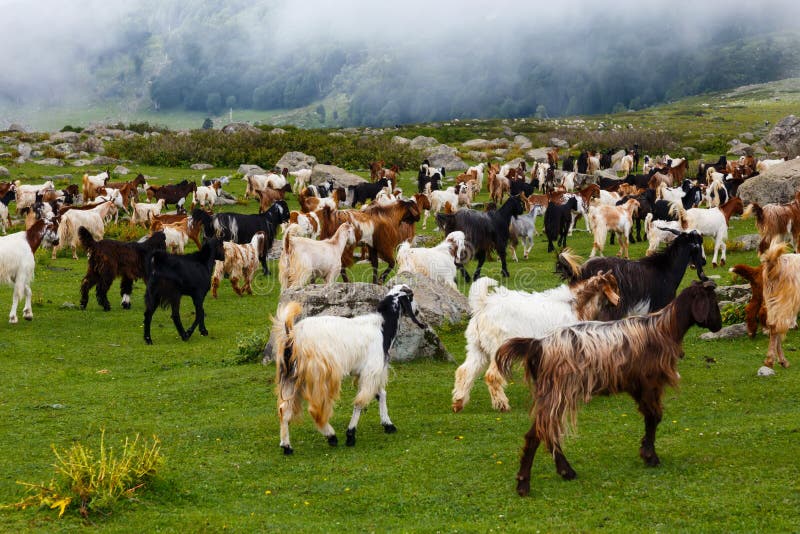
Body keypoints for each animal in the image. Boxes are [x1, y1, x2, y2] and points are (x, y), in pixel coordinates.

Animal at [271, 285, 428, 454]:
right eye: (411, 296)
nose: (417, 311)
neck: (382, 327)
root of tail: (292, 336)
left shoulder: (367, 373)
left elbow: (380, 394)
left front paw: (388, 424)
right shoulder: (372, 369)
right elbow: (360, 401)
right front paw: (351, 435)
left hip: (291, 377)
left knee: (284, 409)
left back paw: (286, 446)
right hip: (320, 374)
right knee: (314, 409)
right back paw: (331, 436)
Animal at [452, 270, 620, 413]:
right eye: (613, 286)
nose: (619, 300)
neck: (575, 304)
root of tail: (483, 306)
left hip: (477, 348)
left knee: (464, 371)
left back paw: (458, 402)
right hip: (498, 349)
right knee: (491, 376)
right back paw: (502, 405)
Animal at [496, 280, 721, 496]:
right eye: (712, 301)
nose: (718, 325)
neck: (664, 328)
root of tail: (538, 345)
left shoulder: (637, 386)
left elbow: (649, 416)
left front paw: (646, 452)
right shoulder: (650, 382)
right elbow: (654, 417)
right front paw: (651, 456)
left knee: (547, 432)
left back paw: (564, 471)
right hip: (556, 391)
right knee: (538, 434)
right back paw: (525, 484)